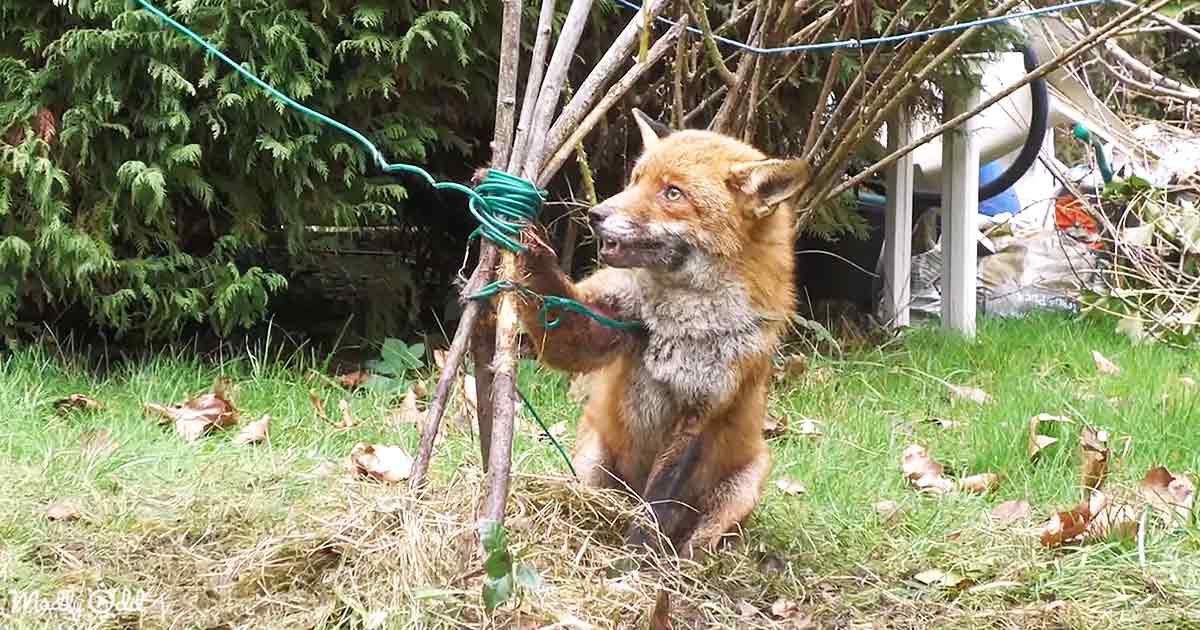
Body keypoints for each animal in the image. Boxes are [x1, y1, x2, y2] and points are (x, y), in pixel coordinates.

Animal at [514, 109, 808, 557]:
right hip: (592, 456)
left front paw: (634, 562)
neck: (677, 323)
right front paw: (525, 239)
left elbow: (656, 508)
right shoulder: (605, 324)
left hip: (745, 483)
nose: (596, 215)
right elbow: (562, 326)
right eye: (636, 179)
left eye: (673, 193)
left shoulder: (701, 414)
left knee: (700, 539)